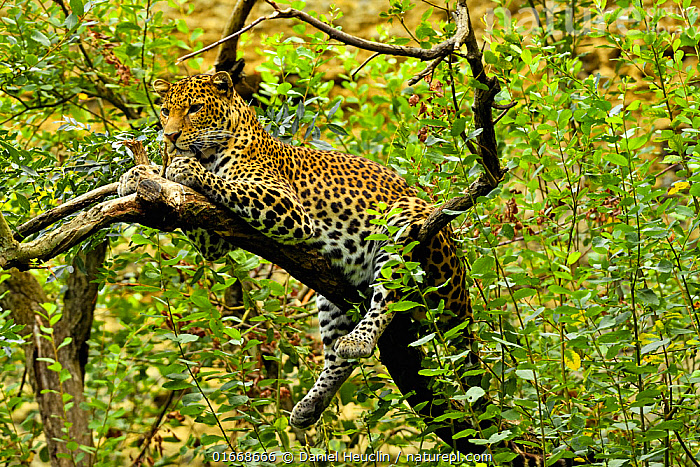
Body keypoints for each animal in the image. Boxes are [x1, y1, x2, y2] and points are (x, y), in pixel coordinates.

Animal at [117, 71, 469, 430]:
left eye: (195, 108)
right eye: (165, 110)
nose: (170, 136)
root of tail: (462, 287)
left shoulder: (288, 207)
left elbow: (226, 185)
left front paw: (183, 169)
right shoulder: (215, 235)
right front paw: (139, 174)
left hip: (401, 226)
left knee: (388, 297)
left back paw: (359, 341)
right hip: (331, 299)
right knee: (337, 359)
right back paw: (309, 406)